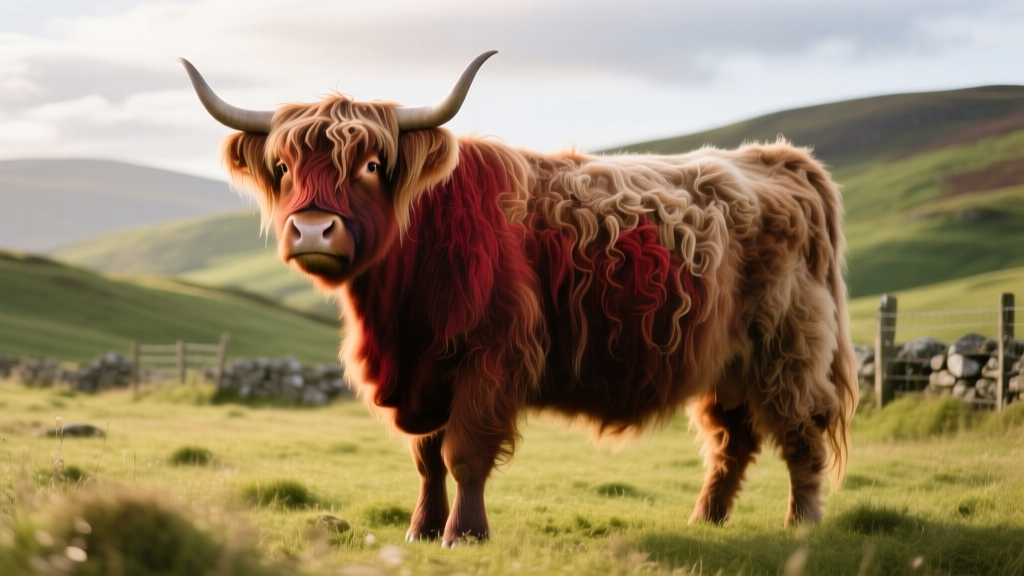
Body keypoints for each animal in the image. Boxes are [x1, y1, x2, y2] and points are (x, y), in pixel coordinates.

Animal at [180, 52, 858, 546]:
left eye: (372, 164)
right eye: (284, 167)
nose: (314, 230)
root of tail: (779, 158)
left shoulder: (491, 356)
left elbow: (465, 454)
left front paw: (464, 534)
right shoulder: (423, 371)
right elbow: (426, 458)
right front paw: (422, 529)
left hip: (785, 351)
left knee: (800, 433)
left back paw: (802, 525)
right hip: (726, 363)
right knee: (731, 441)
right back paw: (705, 521)